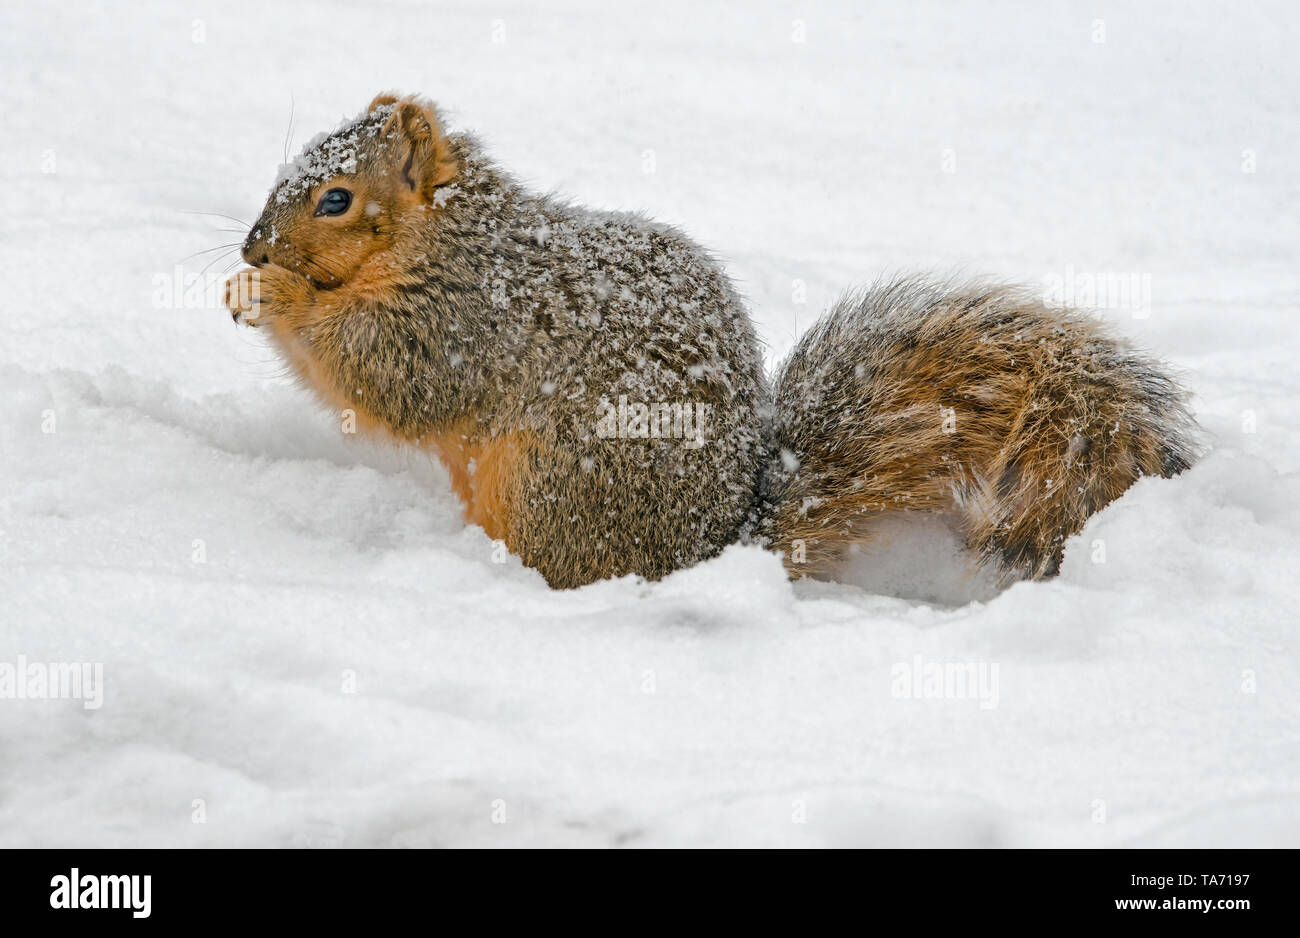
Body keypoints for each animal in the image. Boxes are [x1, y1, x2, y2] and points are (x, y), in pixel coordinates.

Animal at [226, 93, 1198, 589]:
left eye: (336, 199)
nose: (252, 246)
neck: (445, 234)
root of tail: (713, 547)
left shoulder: (469, 319)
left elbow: (390, 376)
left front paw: (274, 296)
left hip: (556, 481)